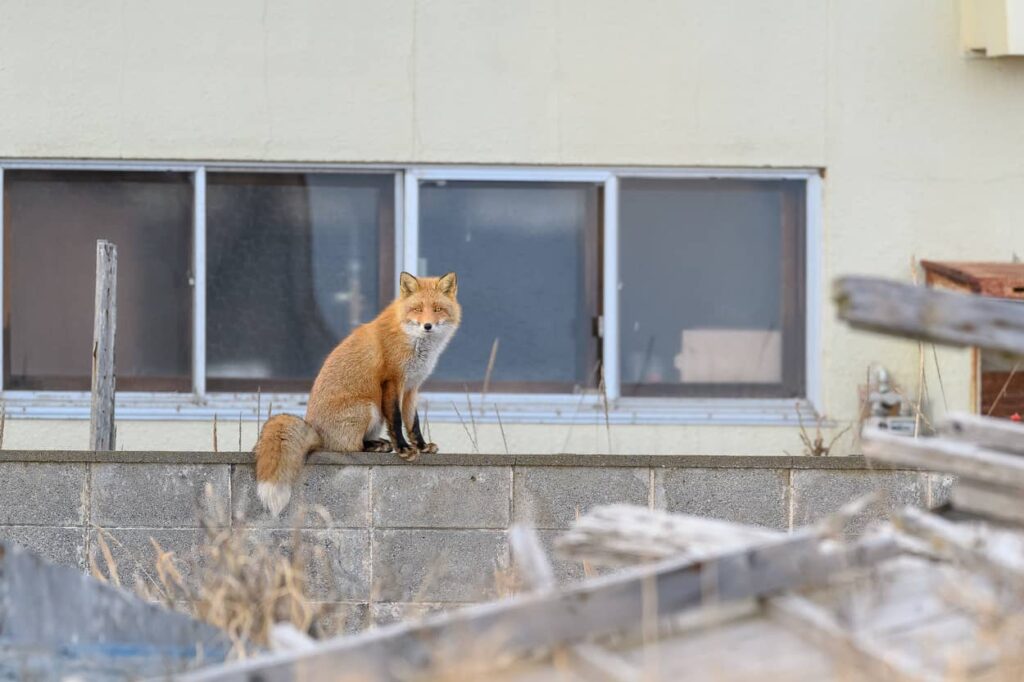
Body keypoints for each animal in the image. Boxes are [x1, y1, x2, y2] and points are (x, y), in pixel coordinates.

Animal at [254, 271, 461, 516]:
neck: (411, 340)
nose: (427, 326)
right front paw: (403, 449)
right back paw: (376, 446)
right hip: (369, 407)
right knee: (350, 447)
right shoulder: (392, 381)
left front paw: (421, 446)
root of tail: (316, 432)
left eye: (437, 309)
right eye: (417, 309)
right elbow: (396, 420)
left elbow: (413, 422)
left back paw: (379, 444)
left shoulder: (412, 386)